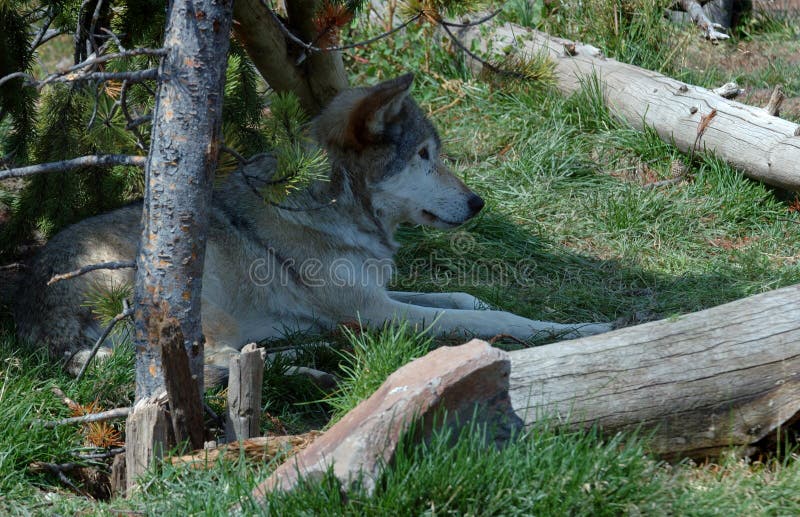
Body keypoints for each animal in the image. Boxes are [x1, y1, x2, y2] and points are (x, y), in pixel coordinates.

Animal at [14, 74, 611, 380]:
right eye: (423, 156)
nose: (478, 202)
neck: (338, 206)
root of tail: (38, 324)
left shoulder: (377, 293)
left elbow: (464, 298)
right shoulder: (373, 307)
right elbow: (492, 320)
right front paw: (581, 330)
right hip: (194, 306)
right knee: (219, 365)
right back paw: (315, 359)